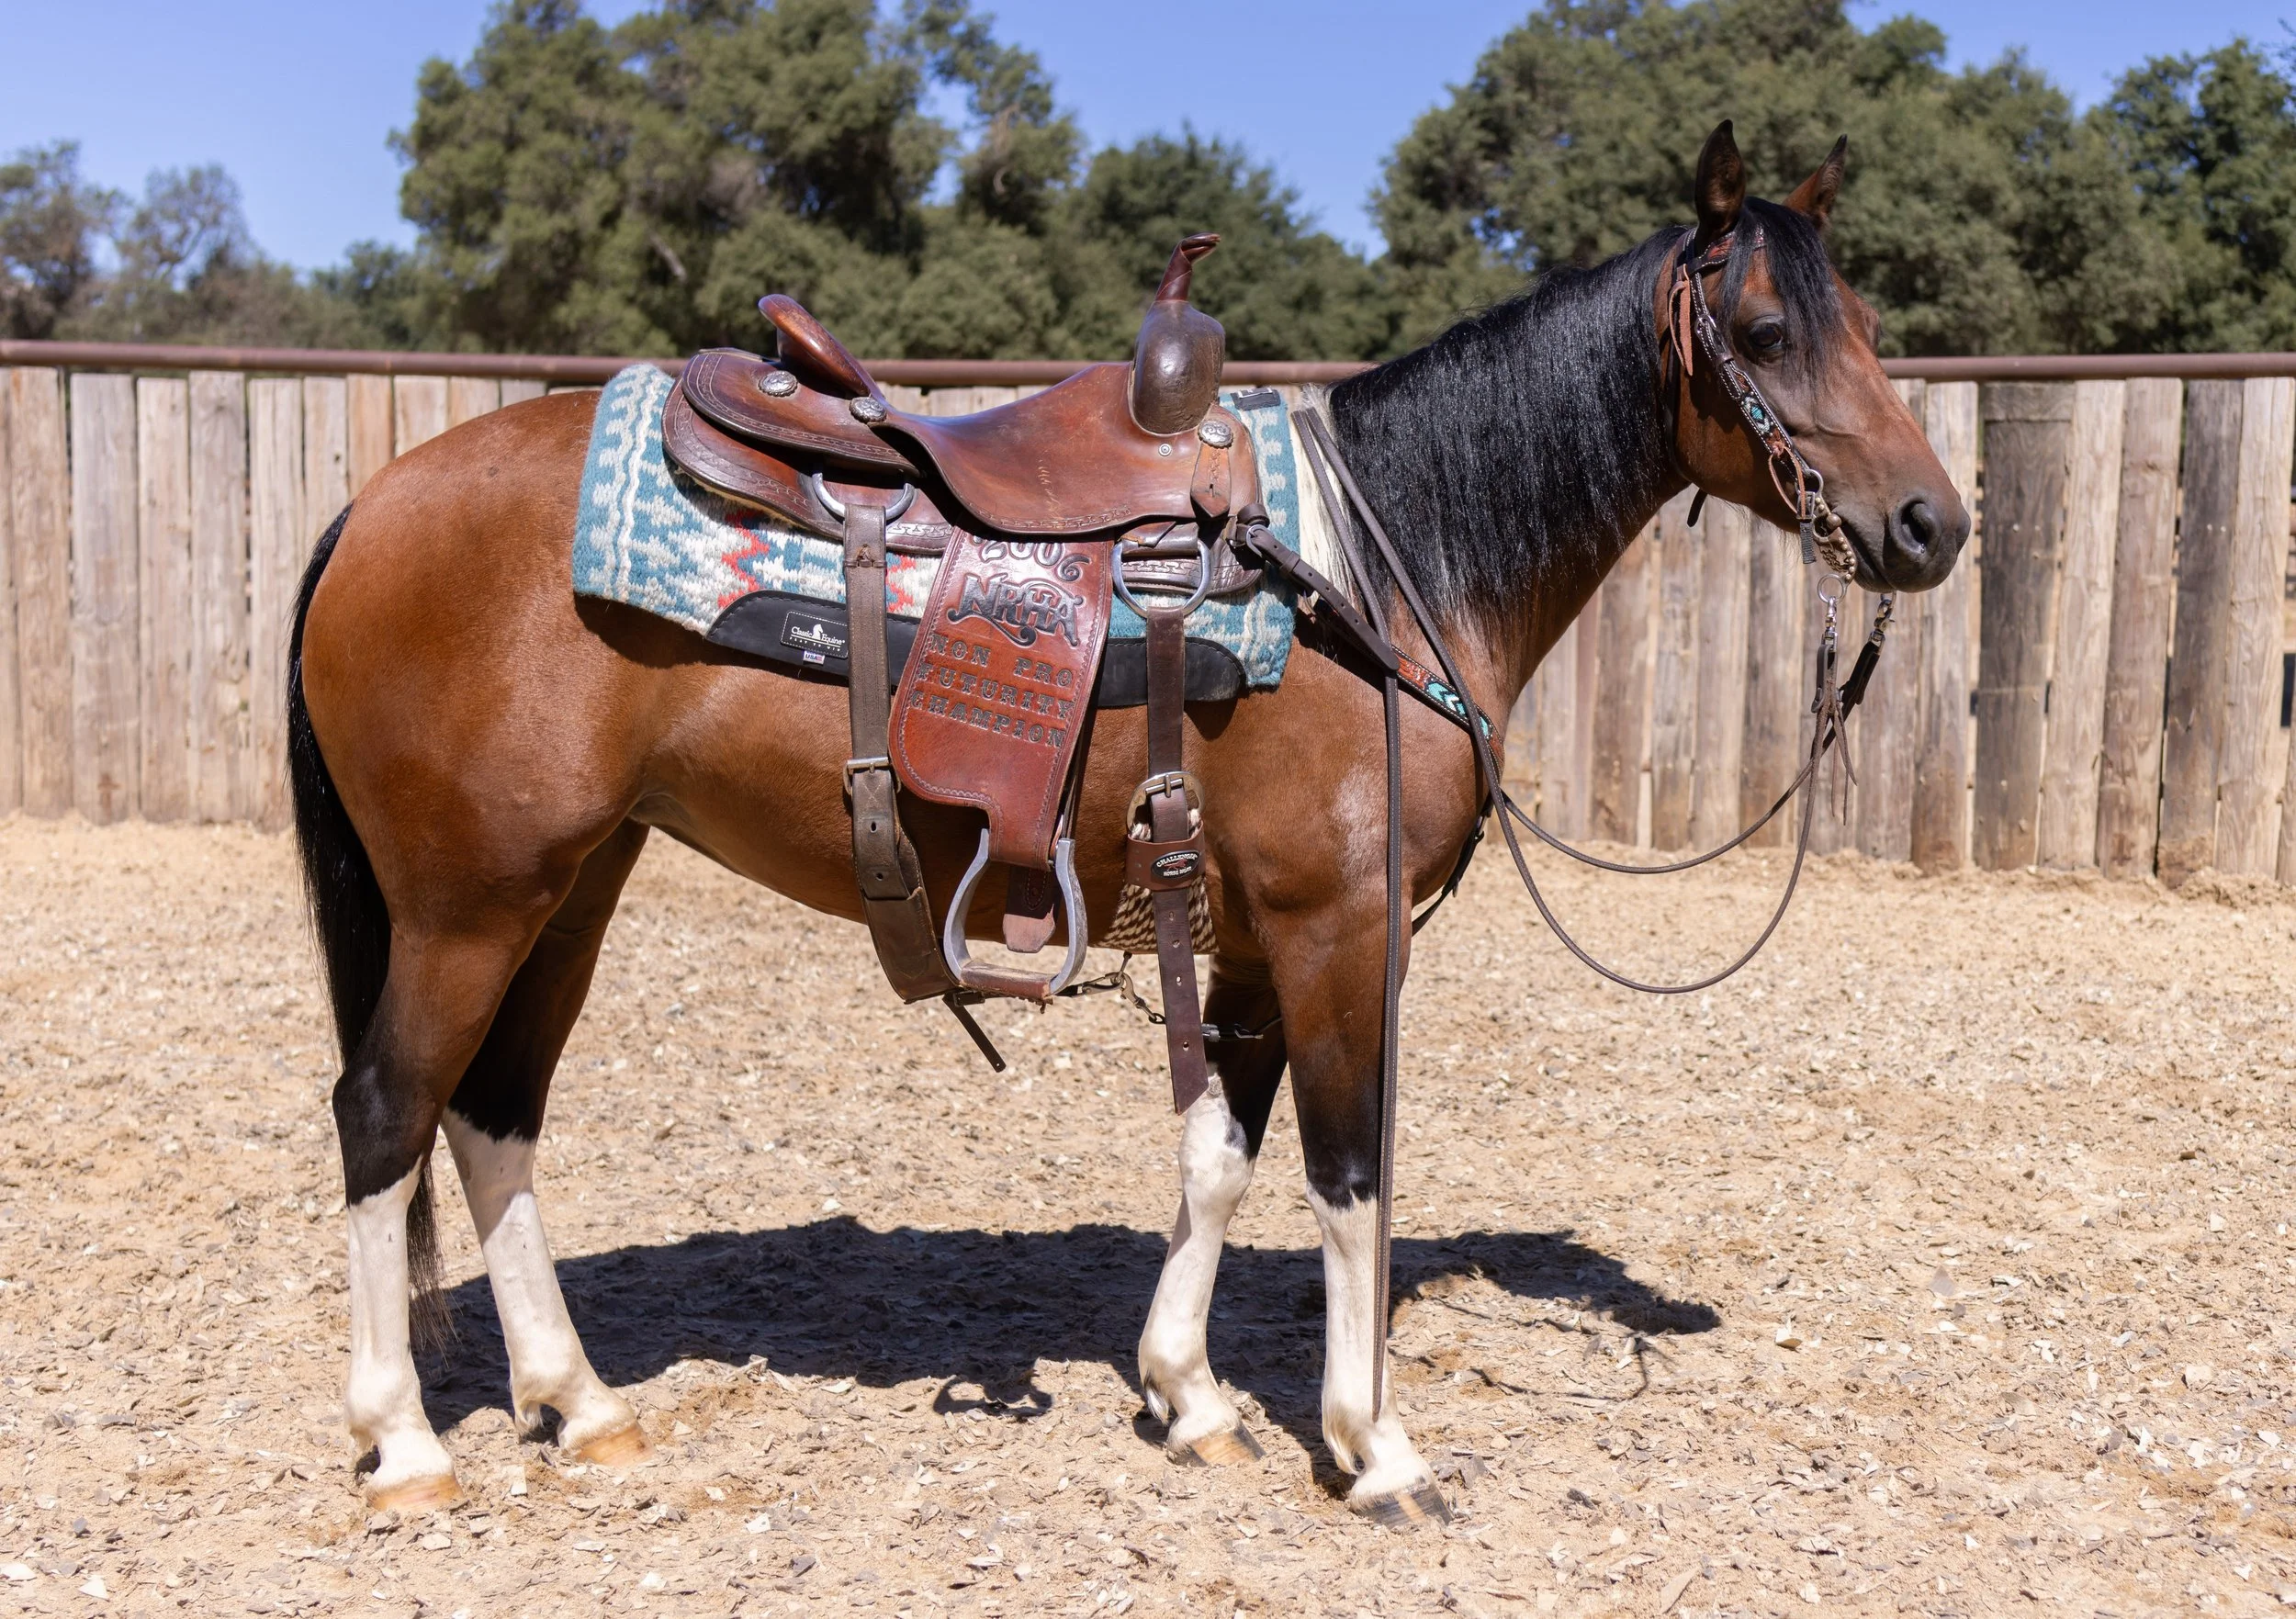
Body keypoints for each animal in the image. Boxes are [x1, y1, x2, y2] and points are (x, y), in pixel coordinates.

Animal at [290, 123, 1966, 1524]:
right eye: (1766, 334)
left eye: (1874, 332)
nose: (1932, 524)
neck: (1379, 567)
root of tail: (372, 504)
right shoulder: (1338, 923)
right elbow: (1348, 1171)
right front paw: (1372, 1445)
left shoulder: (1248, 939)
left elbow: (1217, 1150)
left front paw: (1190, 1393)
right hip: (468, 900)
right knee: (386, 1111)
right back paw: (406, 1438)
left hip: (571, 884)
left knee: (492, 1115)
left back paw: (576, 1400)